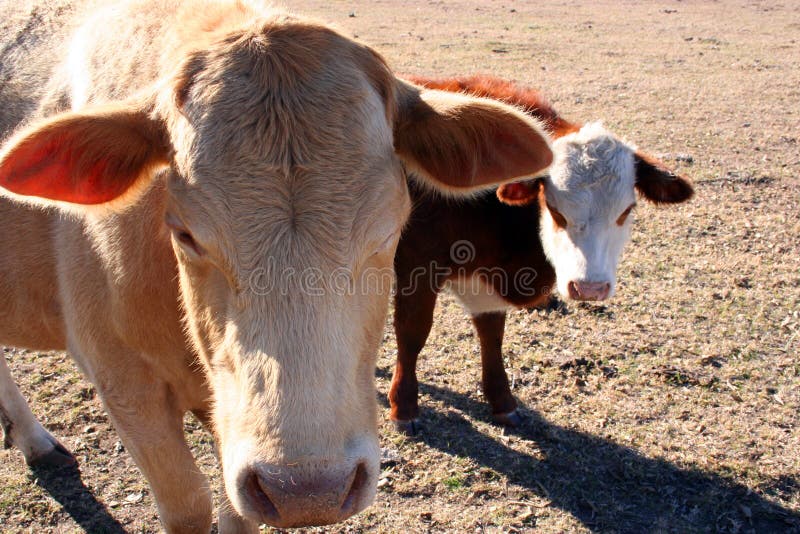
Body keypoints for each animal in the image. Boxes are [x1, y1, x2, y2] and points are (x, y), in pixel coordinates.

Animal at [0, 4, 554, 531]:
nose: (307, 492)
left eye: (389, 228)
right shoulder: (120, 379)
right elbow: (189, 508)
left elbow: (238, 514)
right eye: (185, 233)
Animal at [388, 75, 694, 434]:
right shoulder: (417, 267)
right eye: (554, 209)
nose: (589, 288)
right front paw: (404, 407)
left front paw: (503, 402)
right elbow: (413, 332)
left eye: (626, 211)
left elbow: (492, 335)